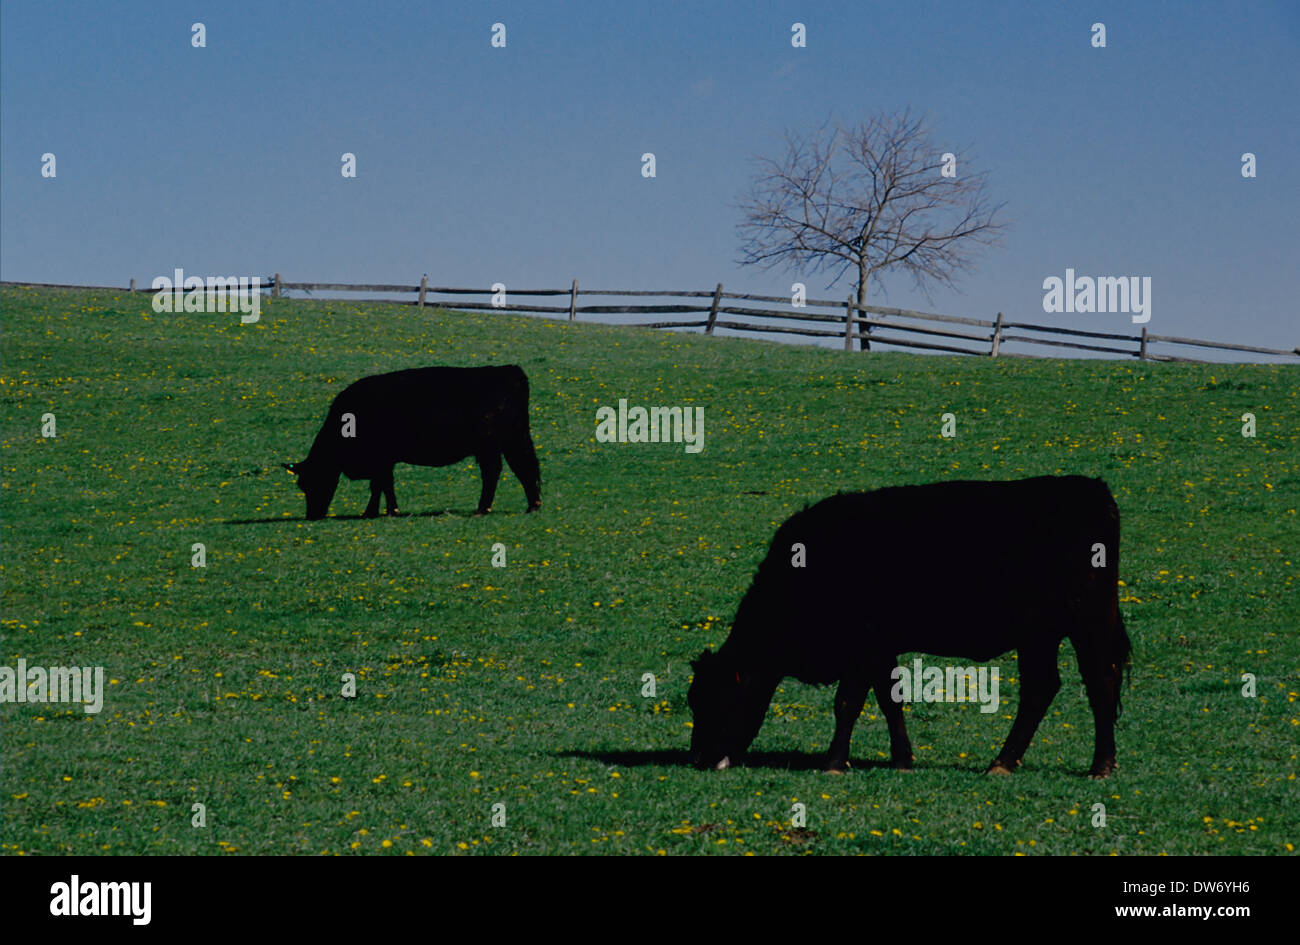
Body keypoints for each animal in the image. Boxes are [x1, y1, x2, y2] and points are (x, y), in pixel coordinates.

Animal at [283, 365, 542, 519]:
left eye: (310, 482)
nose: (312, 515)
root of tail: (508, 371)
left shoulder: (381, 459)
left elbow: (380, 485)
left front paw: (377, 512)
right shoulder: (384, 461)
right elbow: (383, 484)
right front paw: (383, 510)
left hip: (491, 445)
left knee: (495, 472)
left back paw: (483, 509)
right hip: (513, 439)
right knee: (525, 467)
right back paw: (532, 505)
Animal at [688, 475, 1131, 778]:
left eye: (715, 699)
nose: (698, 759)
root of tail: (1090, 490)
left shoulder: (862, 646)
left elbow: (847, 703)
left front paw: (834, 762)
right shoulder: (881, 648)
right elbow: (890, 699)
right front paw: (902, 758)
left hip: (1085, 624)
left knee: (1098, 681)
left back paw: (1099, 765)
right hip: (1040, 635)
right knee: (1043, 688)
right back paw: (1004, 762)